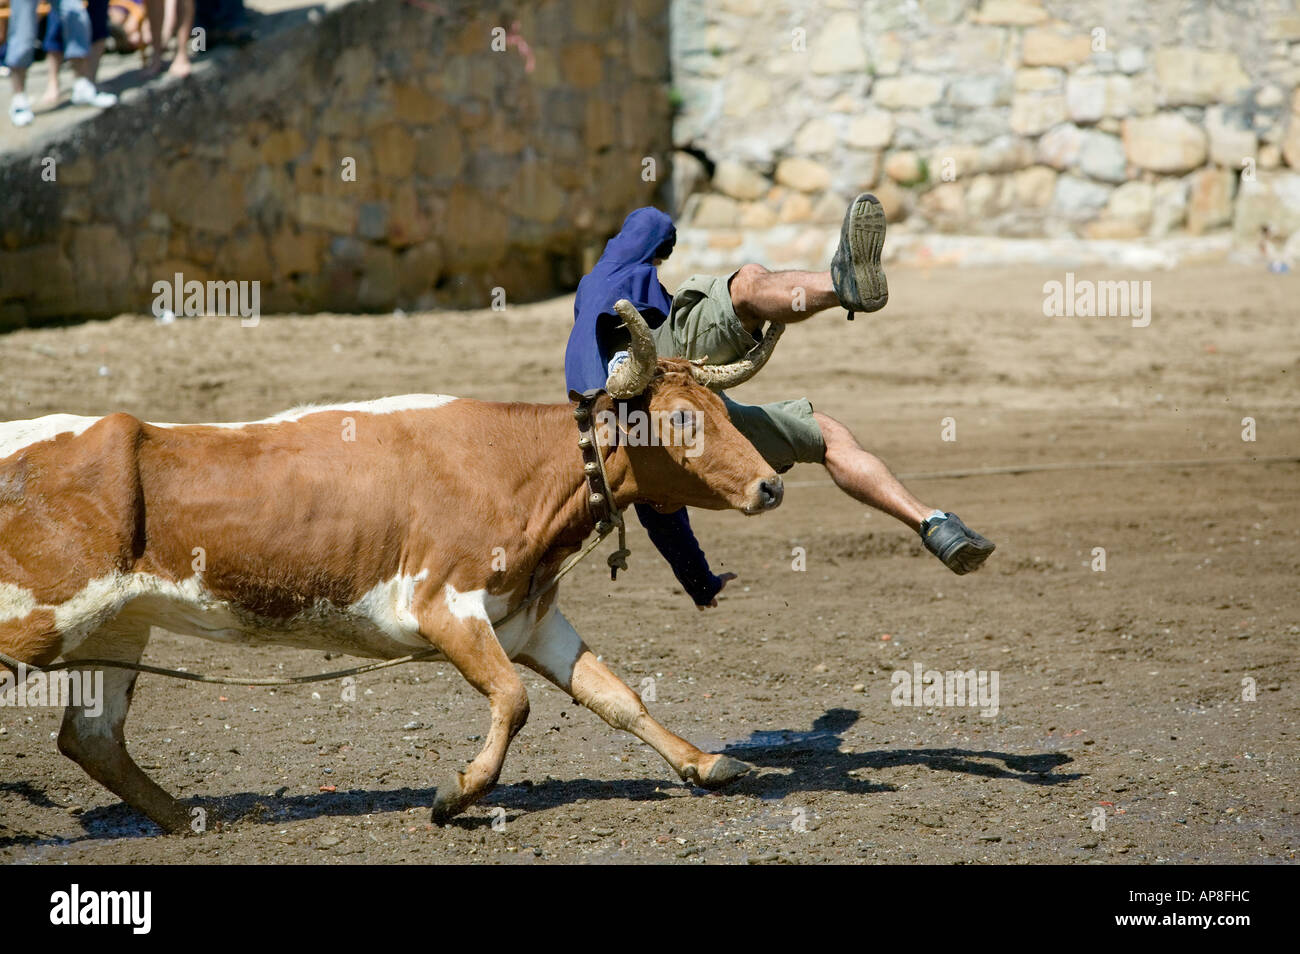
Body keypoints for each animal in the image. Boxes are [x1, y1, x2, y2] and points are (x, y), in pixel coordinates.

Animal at [0, 302, 785, 832]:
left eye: (723, 407)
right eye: (680, 419)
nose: (771, 486)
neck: (519, 471)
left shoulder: (530, 619)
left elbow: (616, 697)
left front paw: (703, 763)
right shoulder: (444, 606)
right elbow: (513, 699)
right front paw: (457, 794)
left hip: (116, 625)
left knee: (92, 739)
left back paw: (194, 822)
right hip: (44, 616)